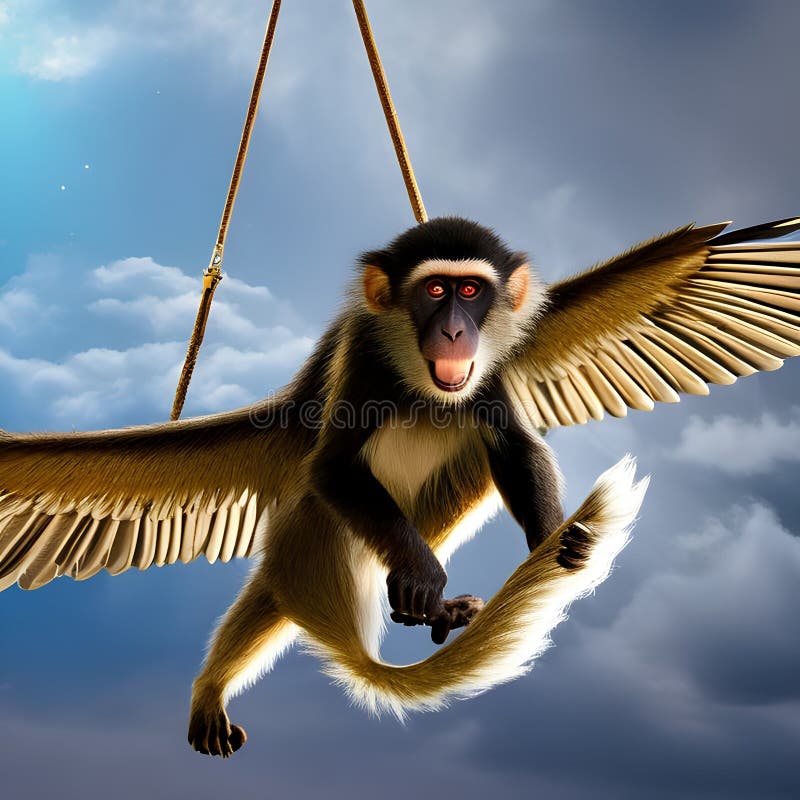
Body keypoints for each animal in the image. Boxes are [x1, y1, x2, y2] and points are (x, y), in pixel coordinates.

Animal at [0, 215, 799, 757]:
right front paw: (422, 574)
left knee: (467, 465)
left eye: (472, 291)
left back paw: (435, 607)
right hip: (308, 515)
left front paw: (552, 543)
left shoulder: (492, 365)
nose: (453, 331)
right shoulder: (359, 354)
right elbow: (334, 467)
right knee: (283, 572)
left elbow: (513, 443)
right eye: (435, 290)